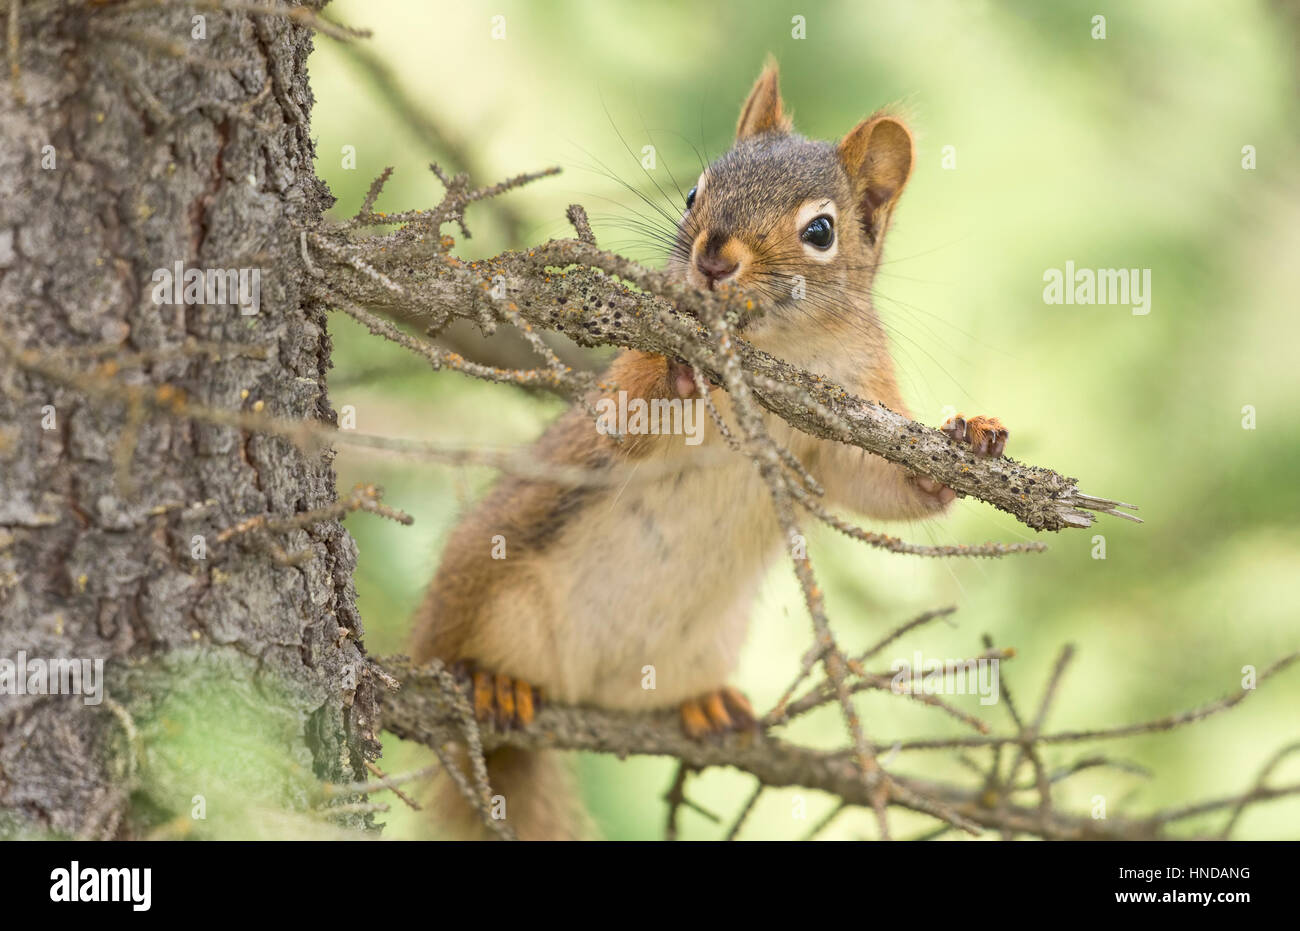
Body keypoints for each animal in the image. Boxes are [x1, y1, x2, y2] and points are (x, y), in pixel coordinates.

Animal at [409, 61, 1008, 840]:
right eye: (695, 192)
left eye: (821, 230)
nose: (714, 257)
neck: (779, 345)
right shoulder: (627, 376)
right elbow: (620, 417)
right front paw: (677, 368)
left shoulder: (844, 420)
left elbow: (875, 486)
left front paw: (969, 434)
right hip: (487, 589)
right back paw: (492, 680)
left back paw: (704, 703)